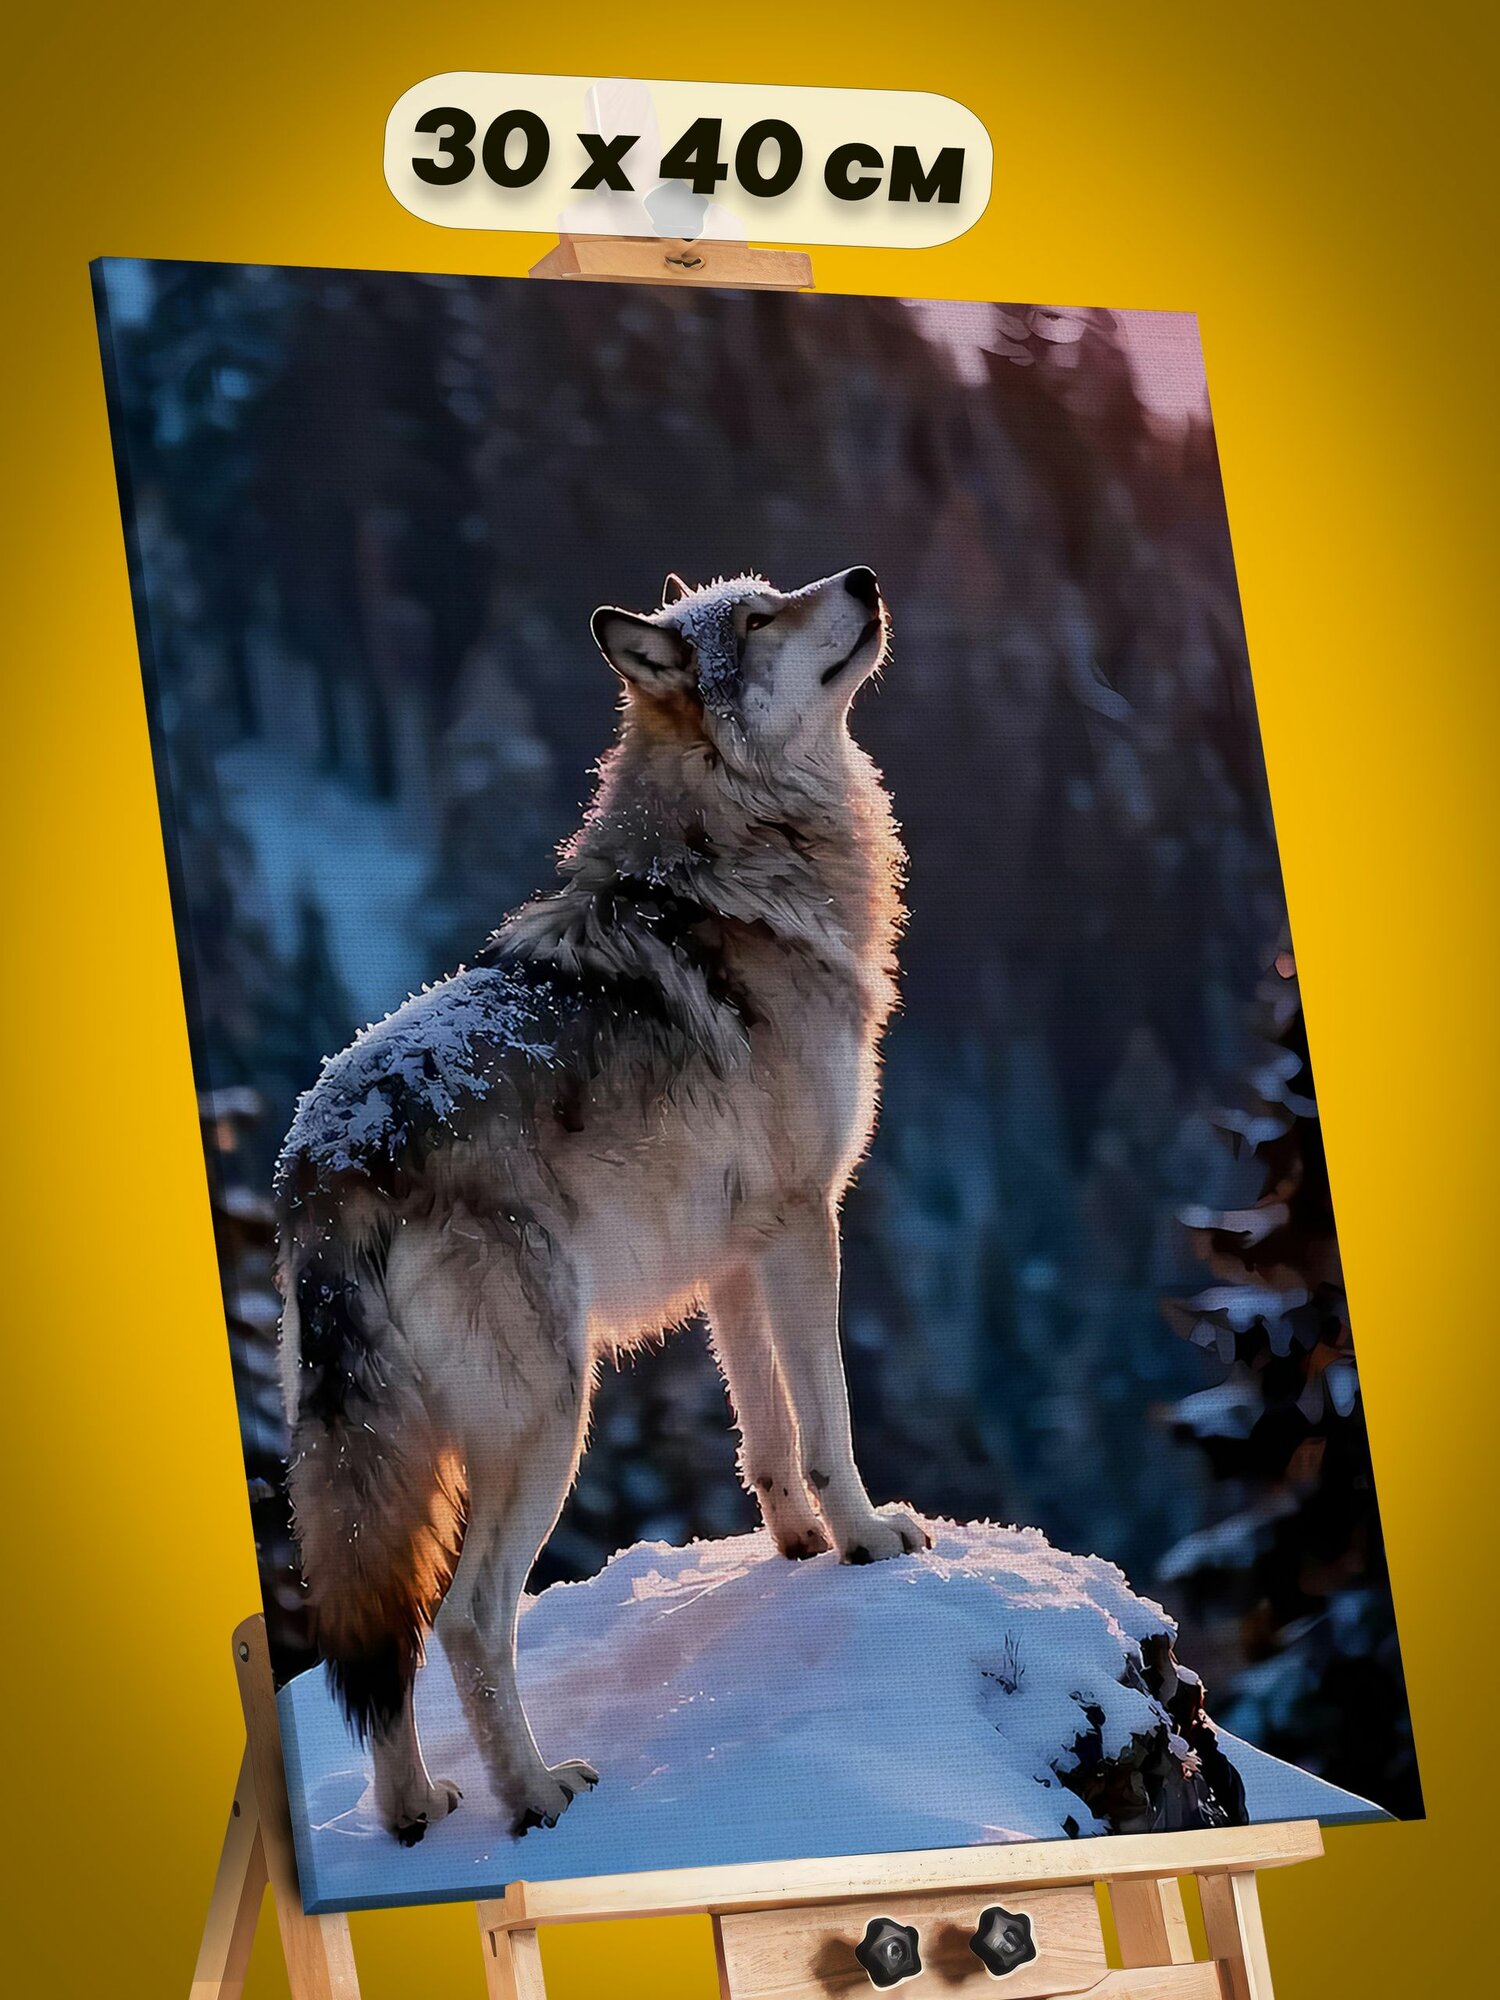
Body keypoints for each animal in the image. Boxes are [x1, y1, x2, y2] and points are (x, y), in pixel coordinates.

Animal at [275, 564, 926, 1846]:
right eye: (761, 619)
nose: (865, 577)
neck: (740, 866)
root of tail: (332, 1157)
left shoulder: (734, 1260)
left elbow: (766, 1435)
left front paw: (796, 1550)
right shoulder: (803, 1222)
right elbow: (827, 1423)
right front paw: (869, 1540)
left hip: (398, 1458)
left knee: (385, 1626)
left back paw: (415, 1814)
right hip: (545, 1417)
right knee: (468, 1615)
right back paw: (534, 1796)